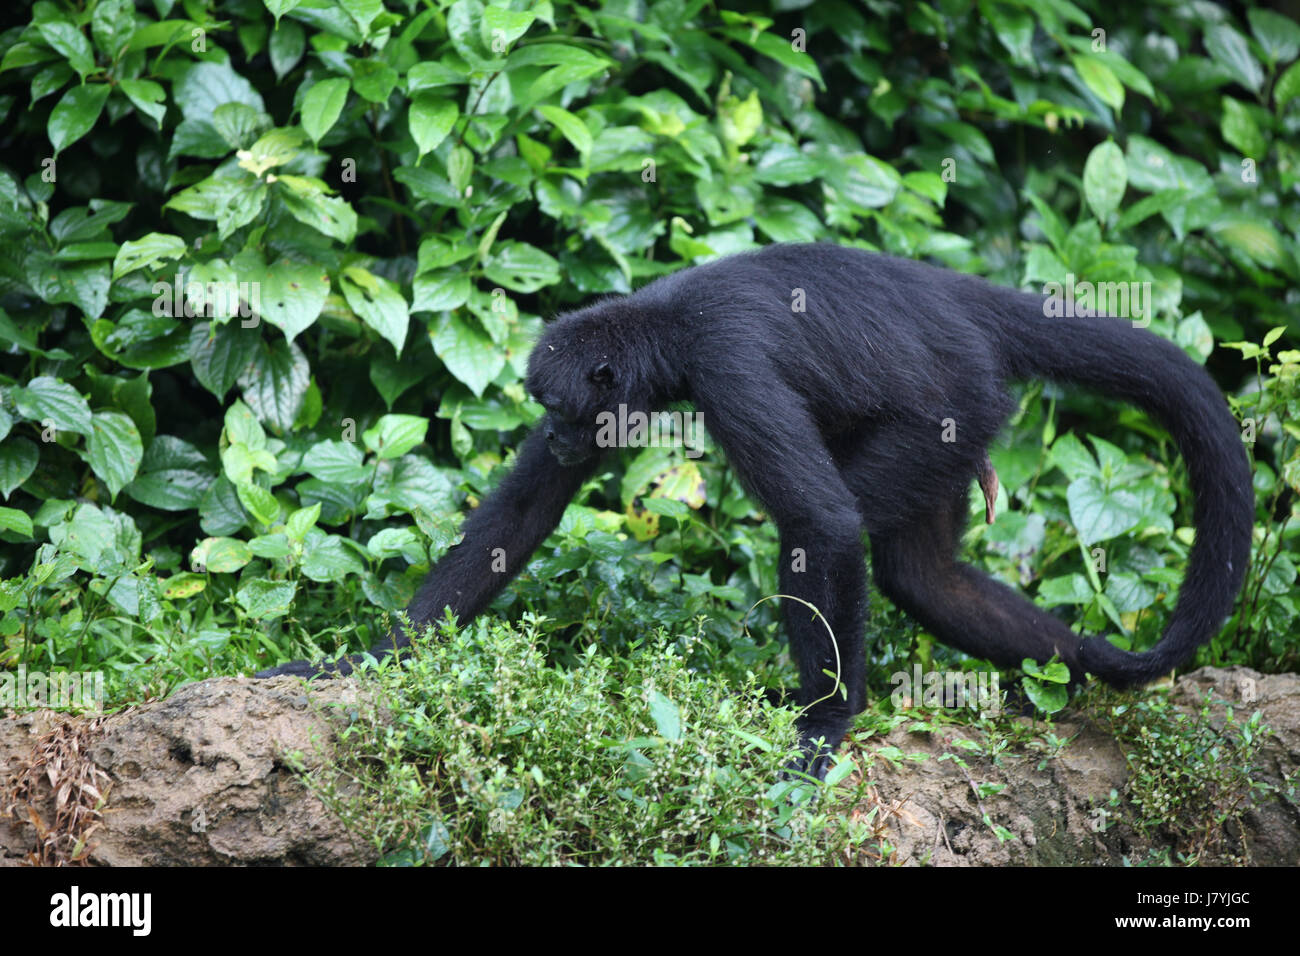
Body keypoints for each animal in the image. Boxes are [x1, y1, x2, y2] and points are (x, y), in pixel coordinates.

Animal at [258, 243, 1255, 778]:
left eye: (564, 408)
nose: (563, 435)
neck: (665, 322)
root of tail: (961, 299)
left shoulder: (727, 364)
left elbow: (823, 525)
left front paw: (827, 728)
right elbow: (519, 513)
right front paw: (364, 663)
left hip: (949, 409)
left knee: (849, 537)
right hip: (959, 427)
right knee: (925, 575)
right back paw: (1082, 668)